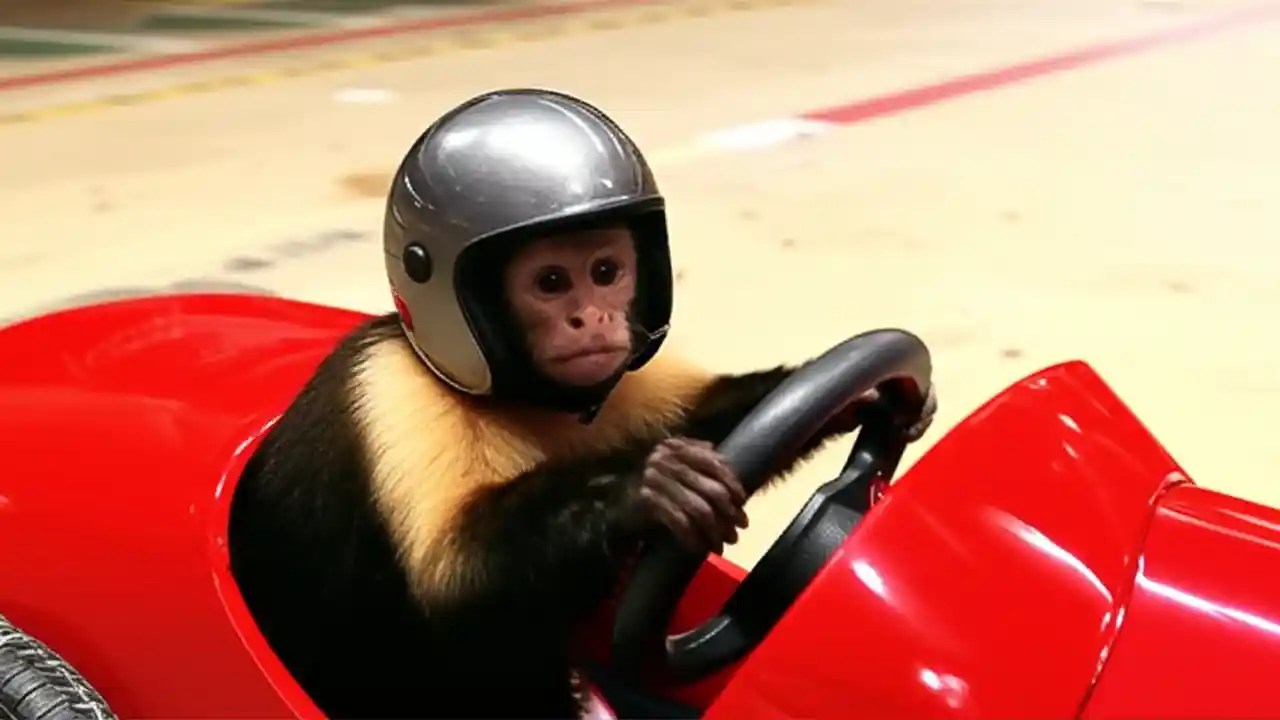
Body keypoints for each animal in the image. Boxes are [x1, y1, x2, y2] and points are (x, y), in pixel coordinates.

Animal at [225, 89, 937, 720]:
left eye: (604, 272)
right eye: (550, 282)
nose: (591, 319)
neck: (508, 396)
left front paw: (862, 395)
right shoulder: (395, 394)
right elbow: (452, 582)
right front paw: (654, 486)